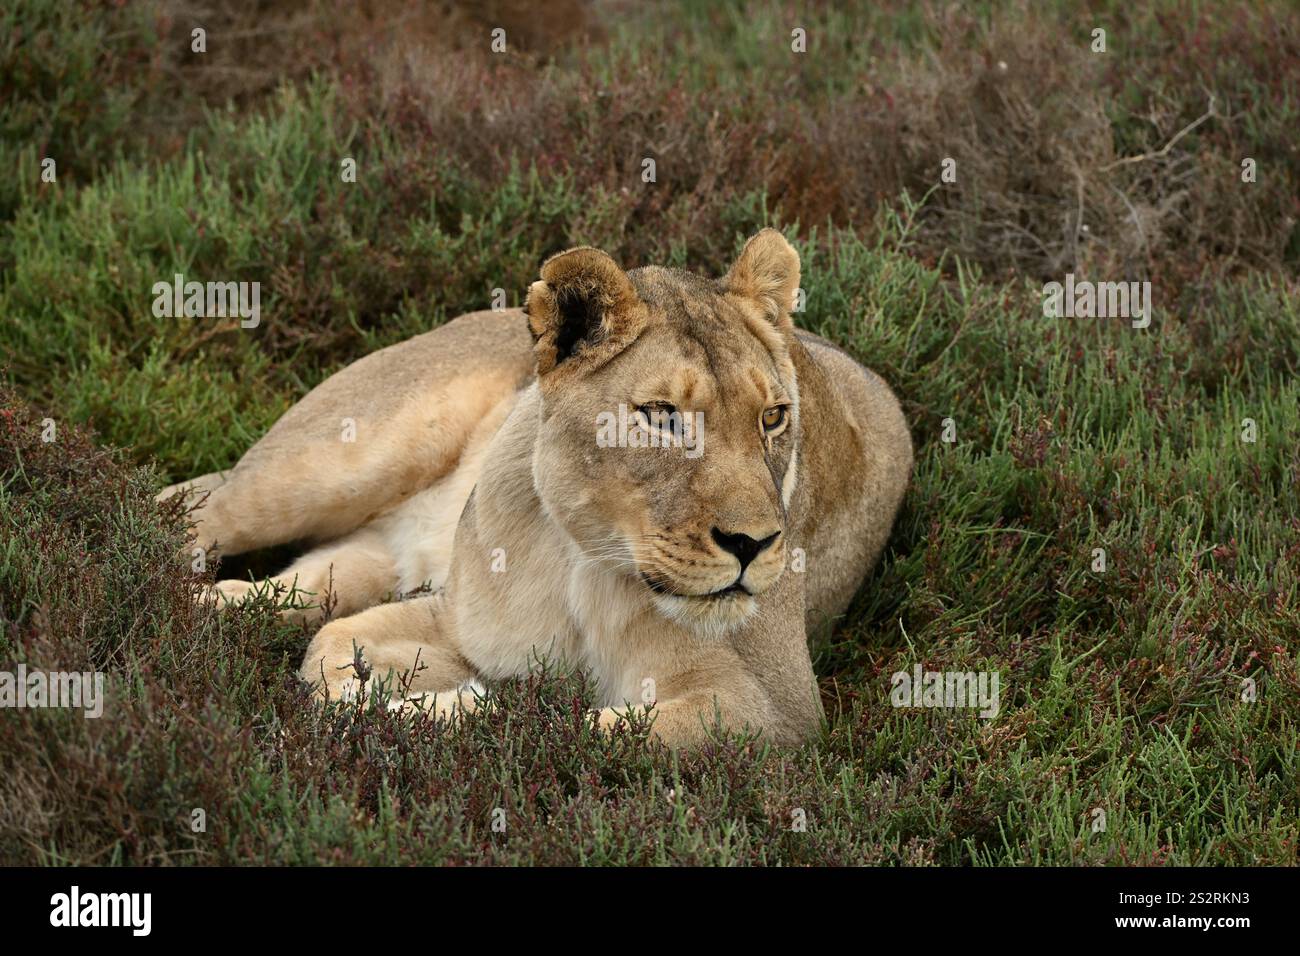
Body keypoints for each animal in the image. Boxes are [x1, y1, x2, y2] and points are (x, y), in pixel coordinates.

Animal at [158, 229, 912, 747]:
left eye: (774, 416)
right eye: (662, 416)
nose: (754, 544)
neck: (591, 561)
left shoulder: (775, 712)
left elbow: (585, 729)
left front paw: (417, 709)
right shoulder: (464, 623)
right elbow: (338, 658)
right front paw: (405, 707)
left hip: (364, 555)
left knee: (293, 594)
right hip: (324, 468)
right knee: (185, 512)